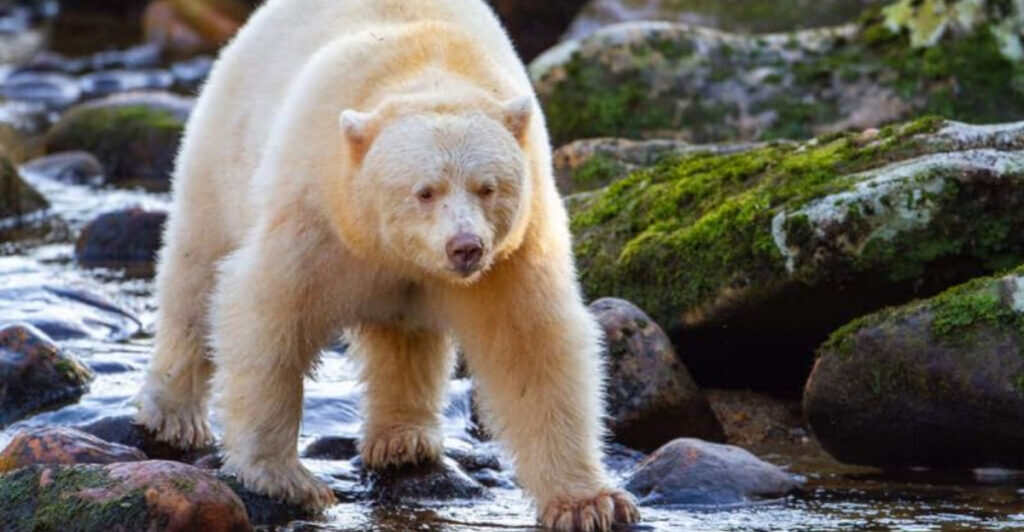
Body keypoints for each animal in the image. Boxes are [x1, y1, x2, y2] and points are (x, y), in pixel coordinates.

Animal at [133, 0, 640, 530]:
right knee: (195, 273)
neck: (429, 73)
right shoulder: (318, 213)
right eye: (425, 191)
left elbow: (533, 346)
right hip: (224, 144)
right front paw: (286, 479)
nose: (465, 247)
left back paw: (403, 440)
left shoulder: (513, 250)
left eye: (487, 187)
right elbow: (268, 315)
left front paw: (590, 503)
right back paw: (173, 416)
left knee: (404, 338)